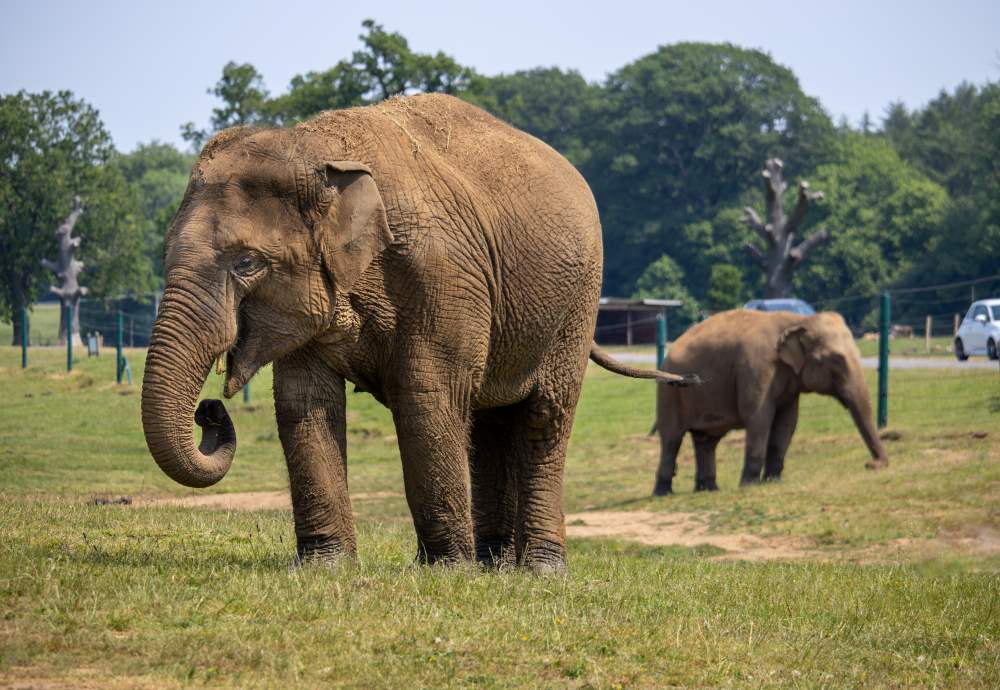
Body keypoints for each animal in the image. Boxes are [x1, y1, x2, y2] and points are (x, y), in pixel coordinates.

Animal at [140, 93, 693, 573]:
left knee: (543, 416)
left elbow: (426, 395)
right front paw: (323, 568)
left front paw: (445, 571)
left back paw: (540, 571)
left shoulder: (441, 272)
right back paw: (494, 565)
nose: (209, 409)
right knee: (490, 420)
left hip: (575, 306)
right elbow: (303, 401)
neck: (317, 148)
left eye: (248, 263)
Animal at [651, 309, 888, 495]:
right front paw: (749, 485)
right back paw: (663, 493)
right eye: (836, 360)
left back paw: (709, 490)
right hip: (669, 393)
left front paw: (774, 482)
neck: (798, 320)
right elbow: (759, 417)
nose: (871, 464)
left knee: (707, 440)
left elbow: (787, 421)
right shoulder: (756, 368)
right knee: (672, 439)